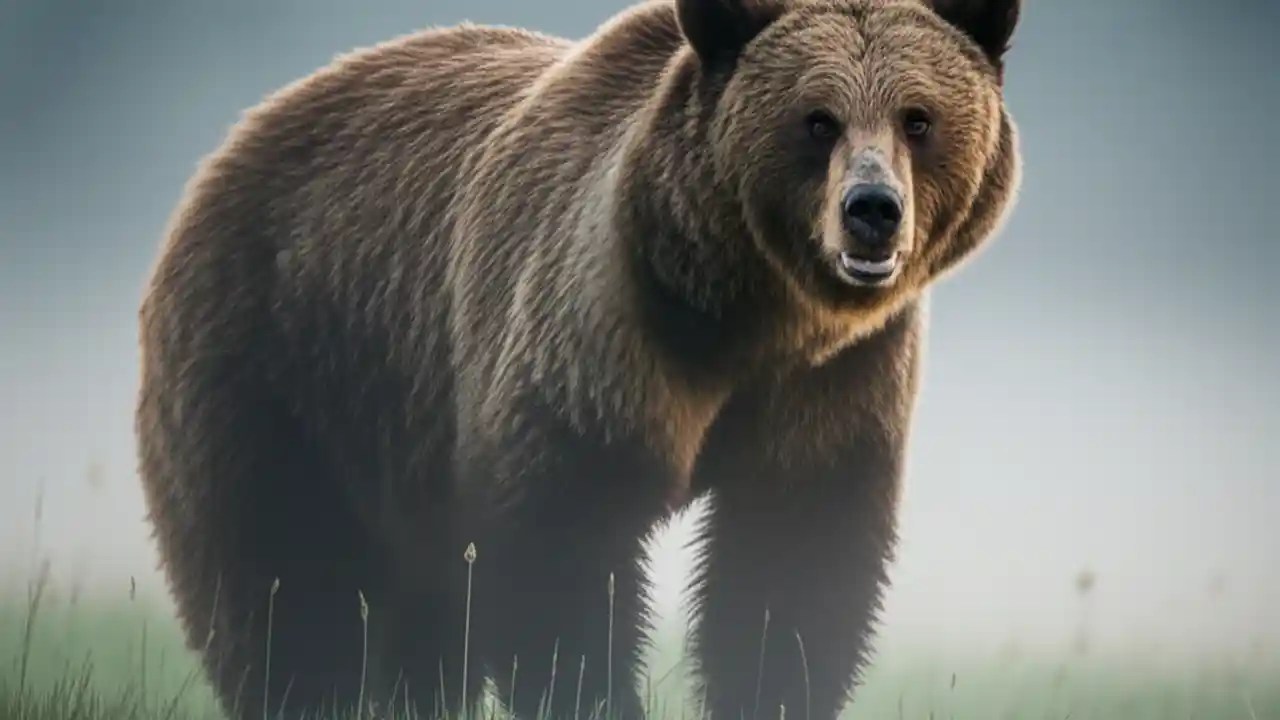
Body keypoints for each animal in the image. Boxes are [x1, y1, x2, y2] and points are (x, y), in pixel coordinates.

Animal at [135, 0, 1022, 718]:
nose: (872, 209)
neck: (743, 312)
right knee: (286, 595)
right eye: (817, 119)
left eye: (918, 117)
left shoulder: (835, 380)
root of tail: (239, 138)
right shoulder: (594, 335)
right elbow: (560, 561)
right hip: (286, 367)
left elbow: (789, 577)